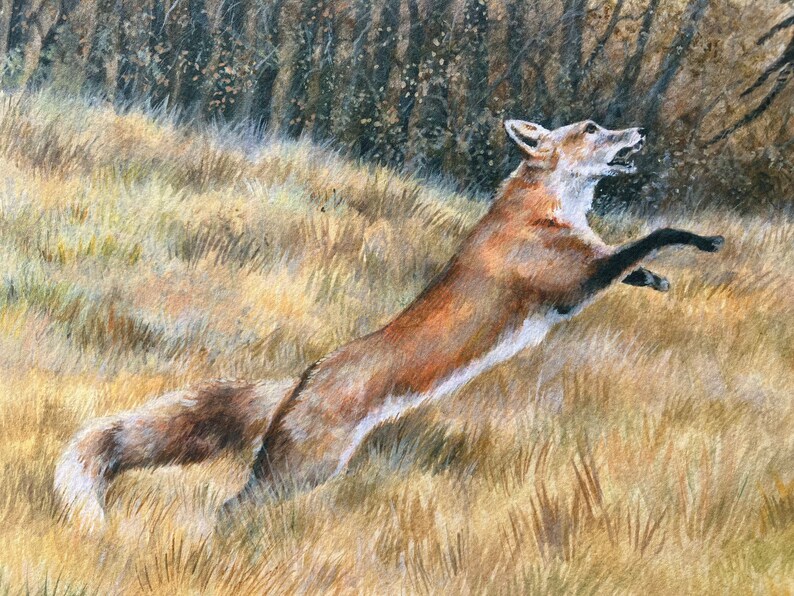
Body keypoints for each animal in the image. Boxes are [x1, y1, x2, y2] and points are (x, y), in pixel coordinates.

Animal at [55, 119, 723, 526]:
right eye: (592, 130)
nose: (640, 131)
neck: (550, 210)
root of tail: (304, 376)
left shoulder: (586, 267)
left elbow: (631, 261)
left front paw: (657, 280)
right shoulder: (570, 286)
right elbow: (651, 238)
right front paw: (701, 240)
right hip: (304, 471)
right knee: (230, 508)